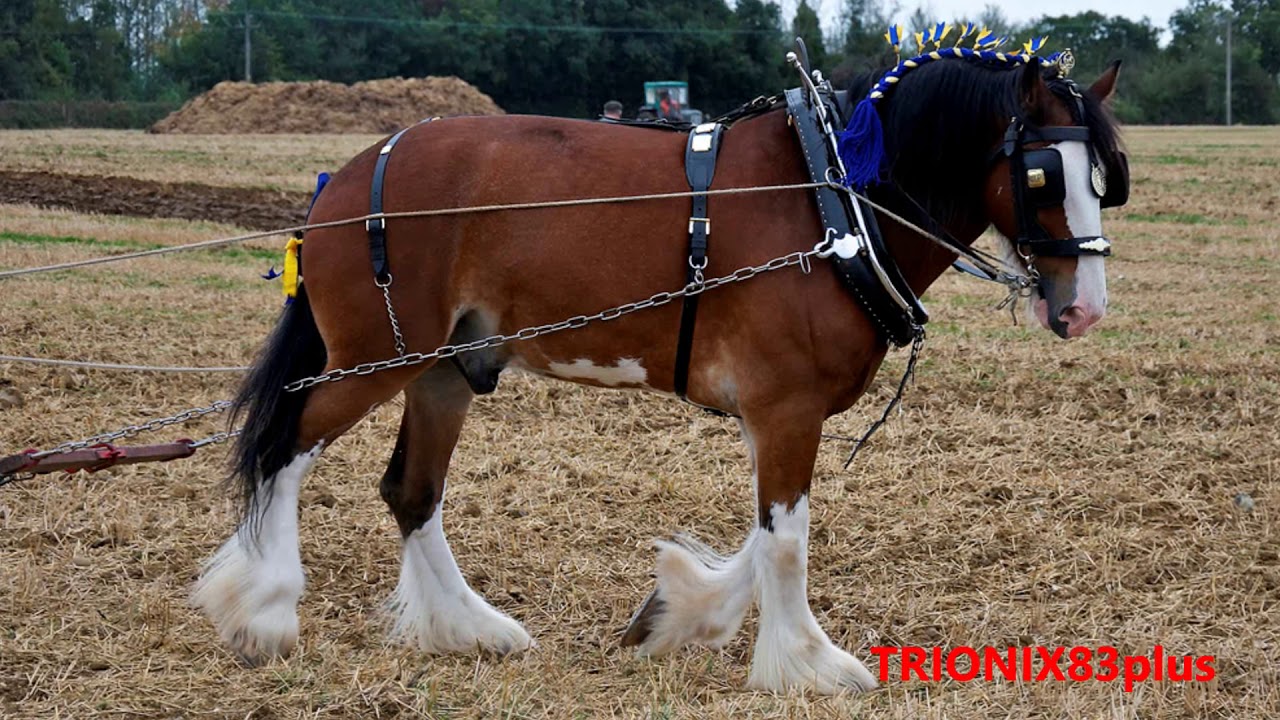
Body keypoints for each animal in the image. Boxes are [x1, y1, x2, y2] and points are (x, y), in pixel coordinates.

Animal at [191, 52, 1124, 693]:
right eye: (1041, 174)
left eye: (1104, 179)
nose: (1085, 309)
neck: (832, 199)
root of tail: (348, 176)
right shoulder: (786, 408)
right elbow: (786, 540)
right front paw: (806, 662)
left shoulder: (772, 413)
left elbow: (763, 532)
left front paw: (678, 613)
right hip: (374, 360)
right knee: (282, 450)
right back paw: (264, 612)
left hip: (445, 371)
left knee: (411, 492)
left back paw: (469, 627)